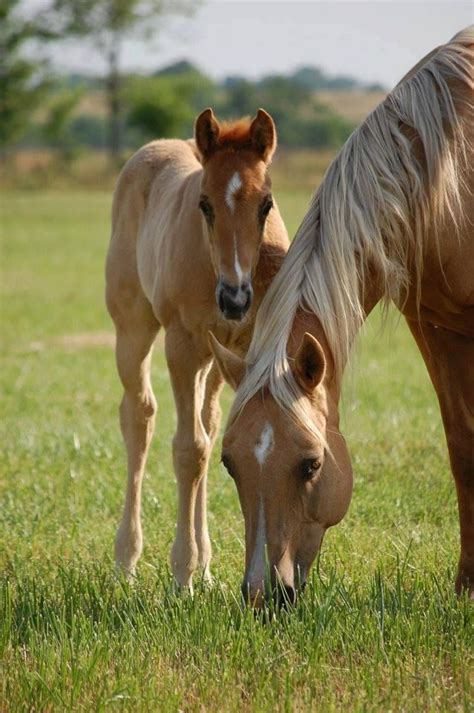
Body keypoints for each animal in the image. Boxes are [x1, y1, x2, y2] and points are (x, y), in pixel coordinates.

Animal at [106, 108, 289, 590]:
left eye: (266, 204)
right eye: (204, 205)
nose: (235, 298)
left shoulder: (247, 350)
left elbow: (225, 440)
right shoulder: (184, 346)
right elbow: (188, 450)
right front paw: (182, 574)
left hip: (214, 360)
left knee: (208, 421)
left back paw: (206, 566)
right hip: (134, 328)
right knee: (139, 417)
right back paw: (126, 559)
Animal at [209, 27, 474, 607]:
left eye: (311, 463)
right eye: (229, 464)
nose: (264, 595)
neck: (449, 176)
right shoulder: (436, 327)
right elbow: (462, 446)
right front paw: (468, 585)